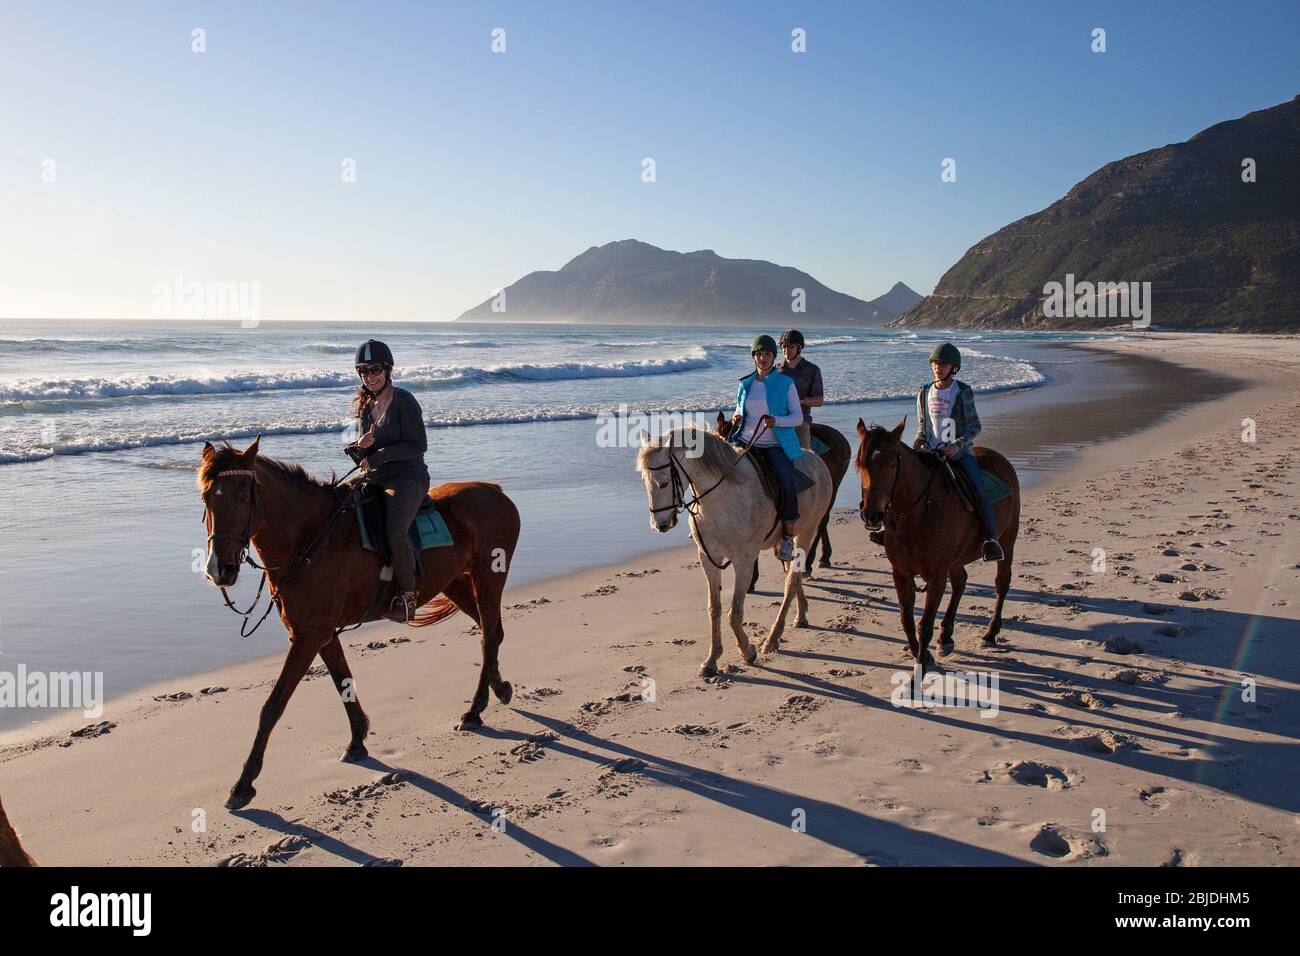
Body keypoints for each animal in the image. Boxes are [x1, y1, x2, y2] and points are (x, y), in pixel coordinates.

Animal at [198, 437, 521, 811]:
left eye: (242, 497)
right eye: (207, 498)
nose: (220, 570)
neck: (310, 536)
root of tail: (496, 492)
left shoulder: (309, 635)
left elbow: (274, 705)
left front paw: (243, 783)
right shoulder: (317, 633)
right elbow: (343, 681)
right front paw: (357, 741)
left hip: (488, 578)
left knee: (489, 636)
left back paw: (475, 710)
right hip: (455, 584)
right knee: (491, 632)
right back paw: (498, 689)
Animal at [636, 424, 832, 676]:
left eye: (663, 483)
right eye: (644, 481)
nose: (659, 525)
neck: (722, 497)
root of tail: (815, 458)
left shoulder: (744, 561)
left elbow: (735, 612)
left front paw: (747, 652)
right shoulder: (708, 559)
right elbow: (714, 609)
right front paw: (711, 661)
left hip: (806, 532)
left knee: (791, 581)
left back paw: (773, 638)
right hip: (782, 542)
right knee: (792, 574)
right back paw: (801, 614)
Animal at [853, 418, 1020, 673]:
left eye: (891, 465)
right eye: (860, 465)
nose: (872, 515)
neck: (916, 513)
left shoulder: (937, 575)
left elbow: (925, 624)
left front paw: (922, 664)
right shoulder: (900, 572)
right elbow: (906, 620)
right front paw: (921, 654)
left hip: (1008, 540)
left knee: (1001, 583)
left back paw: (990, 633)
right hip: (955, 558)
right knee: (960, 581)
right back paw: (946, 637)